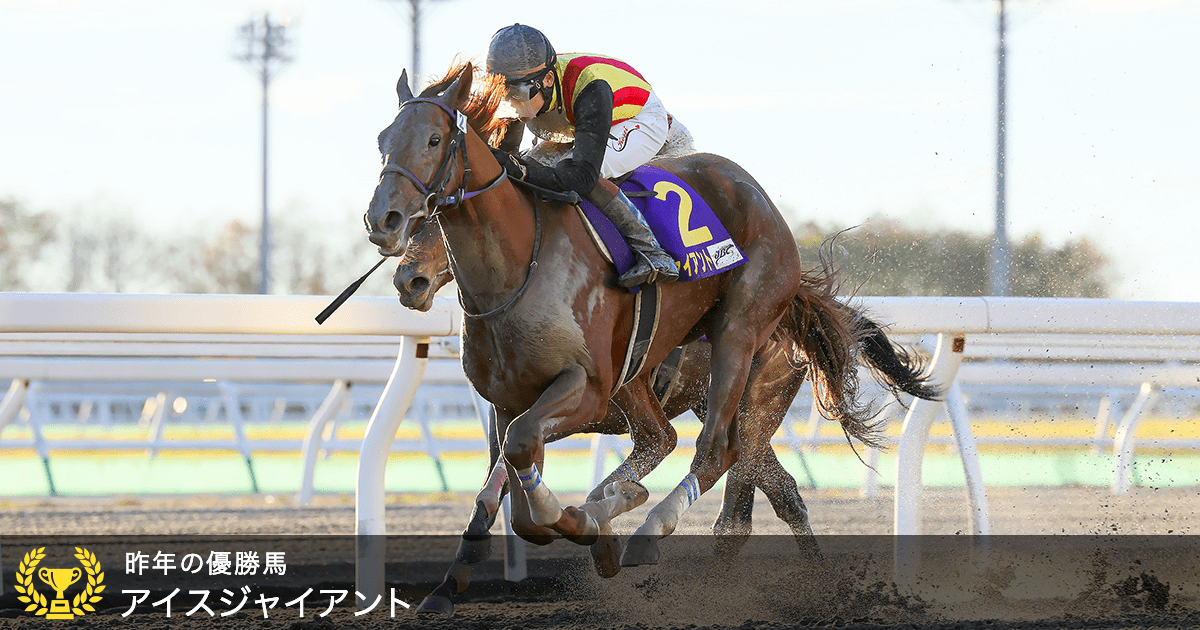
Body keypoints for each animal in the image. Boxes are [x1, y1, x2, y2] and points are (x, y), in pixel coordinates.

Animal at [392, 218, 936, 614]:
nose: (411, 279)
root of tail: (796, 296)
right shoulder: (510, 419)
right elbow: (491, 493)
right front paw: (446, 587)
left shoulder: (595, 404)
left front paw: (602, 518)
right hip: (725, 407)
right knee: (781, 493)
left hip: (755, 402)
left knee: (737, 509)